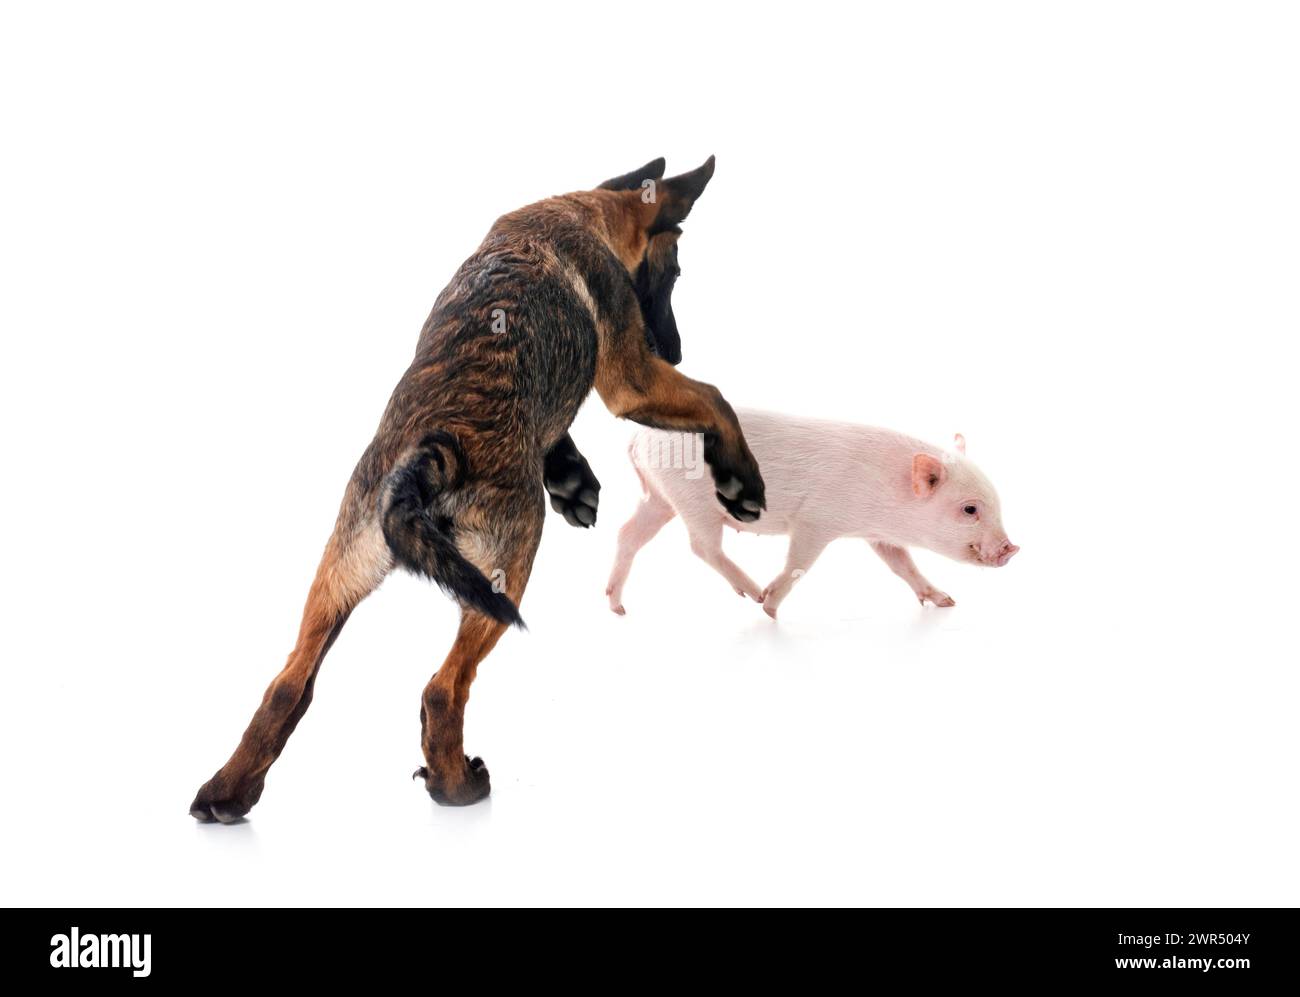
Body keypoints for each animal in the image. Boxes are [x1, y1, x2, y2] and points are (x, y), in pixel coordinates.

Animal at [606, 409, 1018, 618]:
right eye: (970, 509)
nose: (1011, 549)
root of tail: (638, 438)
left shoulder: (877, 533)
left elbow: (903, 565)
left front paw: (946, 601)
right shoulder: (815, 520)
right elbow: (799, 563)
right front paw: (771, 609)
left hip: (659, 497)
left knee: (628, 534)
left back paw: (618, 607)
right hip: (694, 502)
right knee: (701, 547)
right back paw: (753, 593)